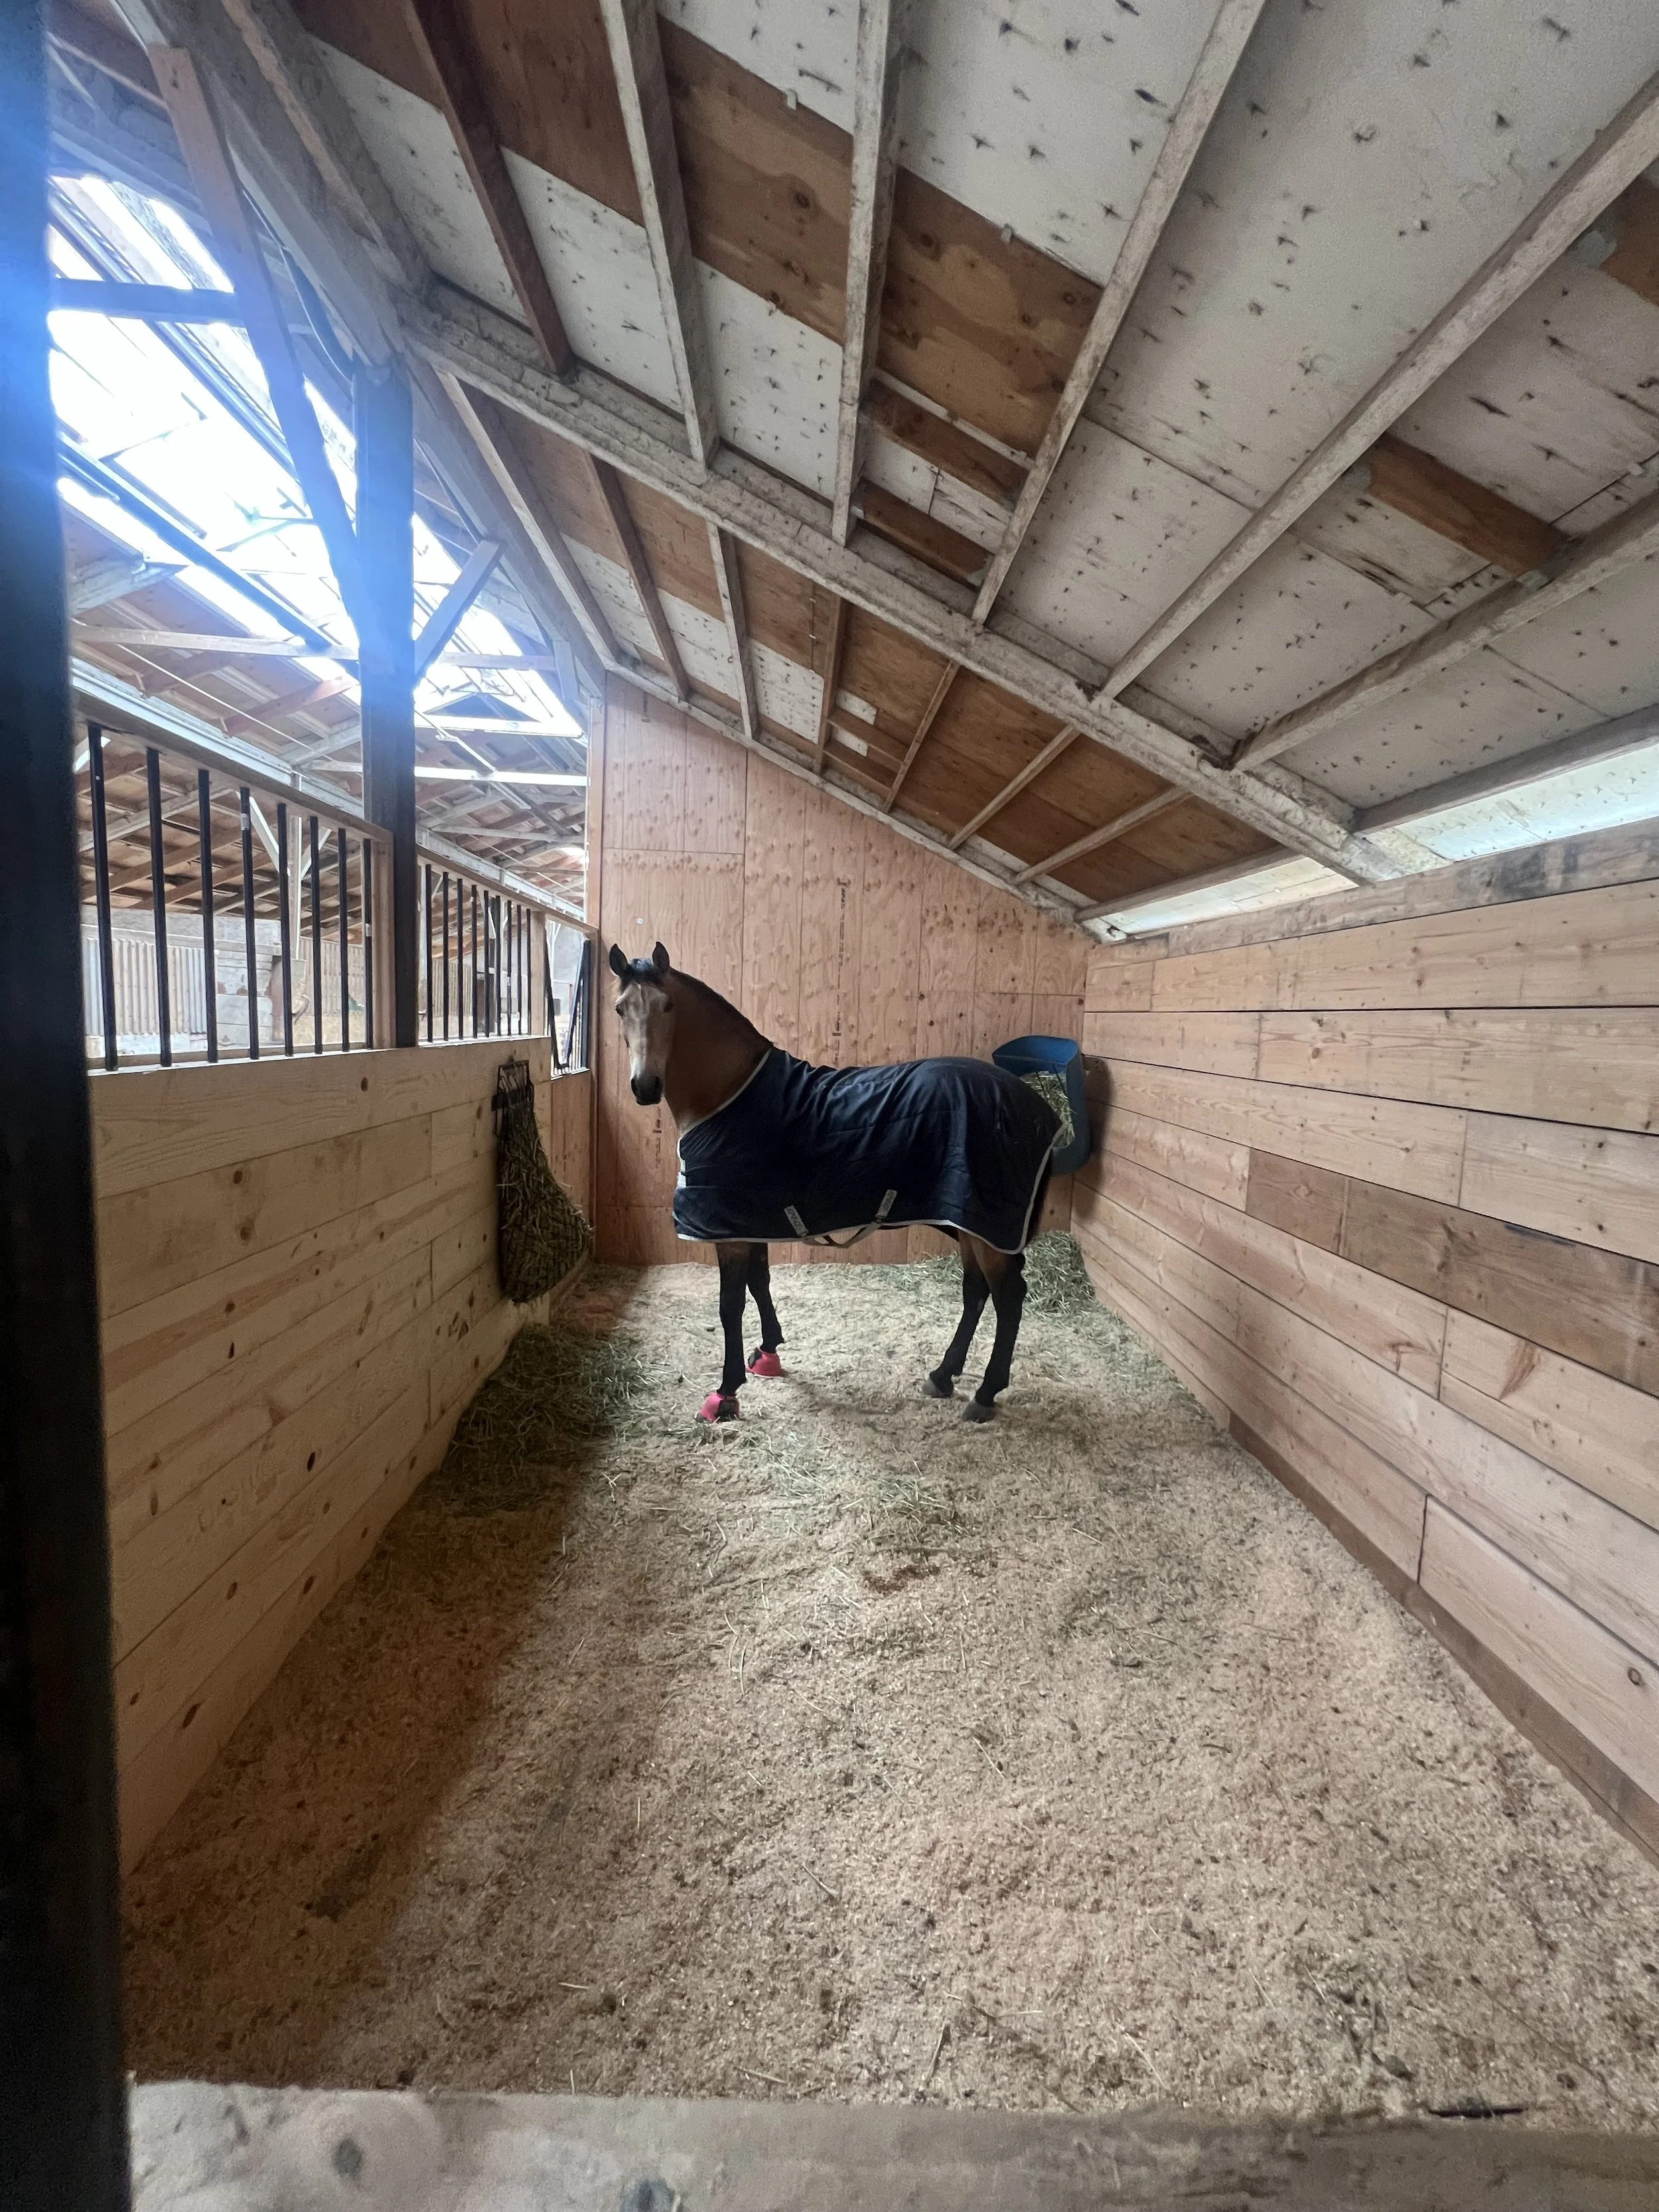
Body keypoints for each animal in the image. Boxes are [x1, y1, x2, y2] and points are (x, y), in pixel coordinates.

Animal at [609, 941, 1060, 1425]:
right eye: (620, 1009)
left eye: (667, 1006)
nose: (645, 1086)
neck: (730, 1093)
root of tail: (1040, 1109)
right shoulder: (752, 1219)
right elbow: (760, 1281)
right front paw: (768, 1351)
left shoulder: (729, 1230)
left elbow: (730, 1305)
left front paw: (726, 1392)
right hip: (967, 1224)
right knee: (977, 1292)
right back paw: (942, 1376)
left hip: (987, 1230)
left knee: (1009, 1298)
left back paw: (986, 1393)